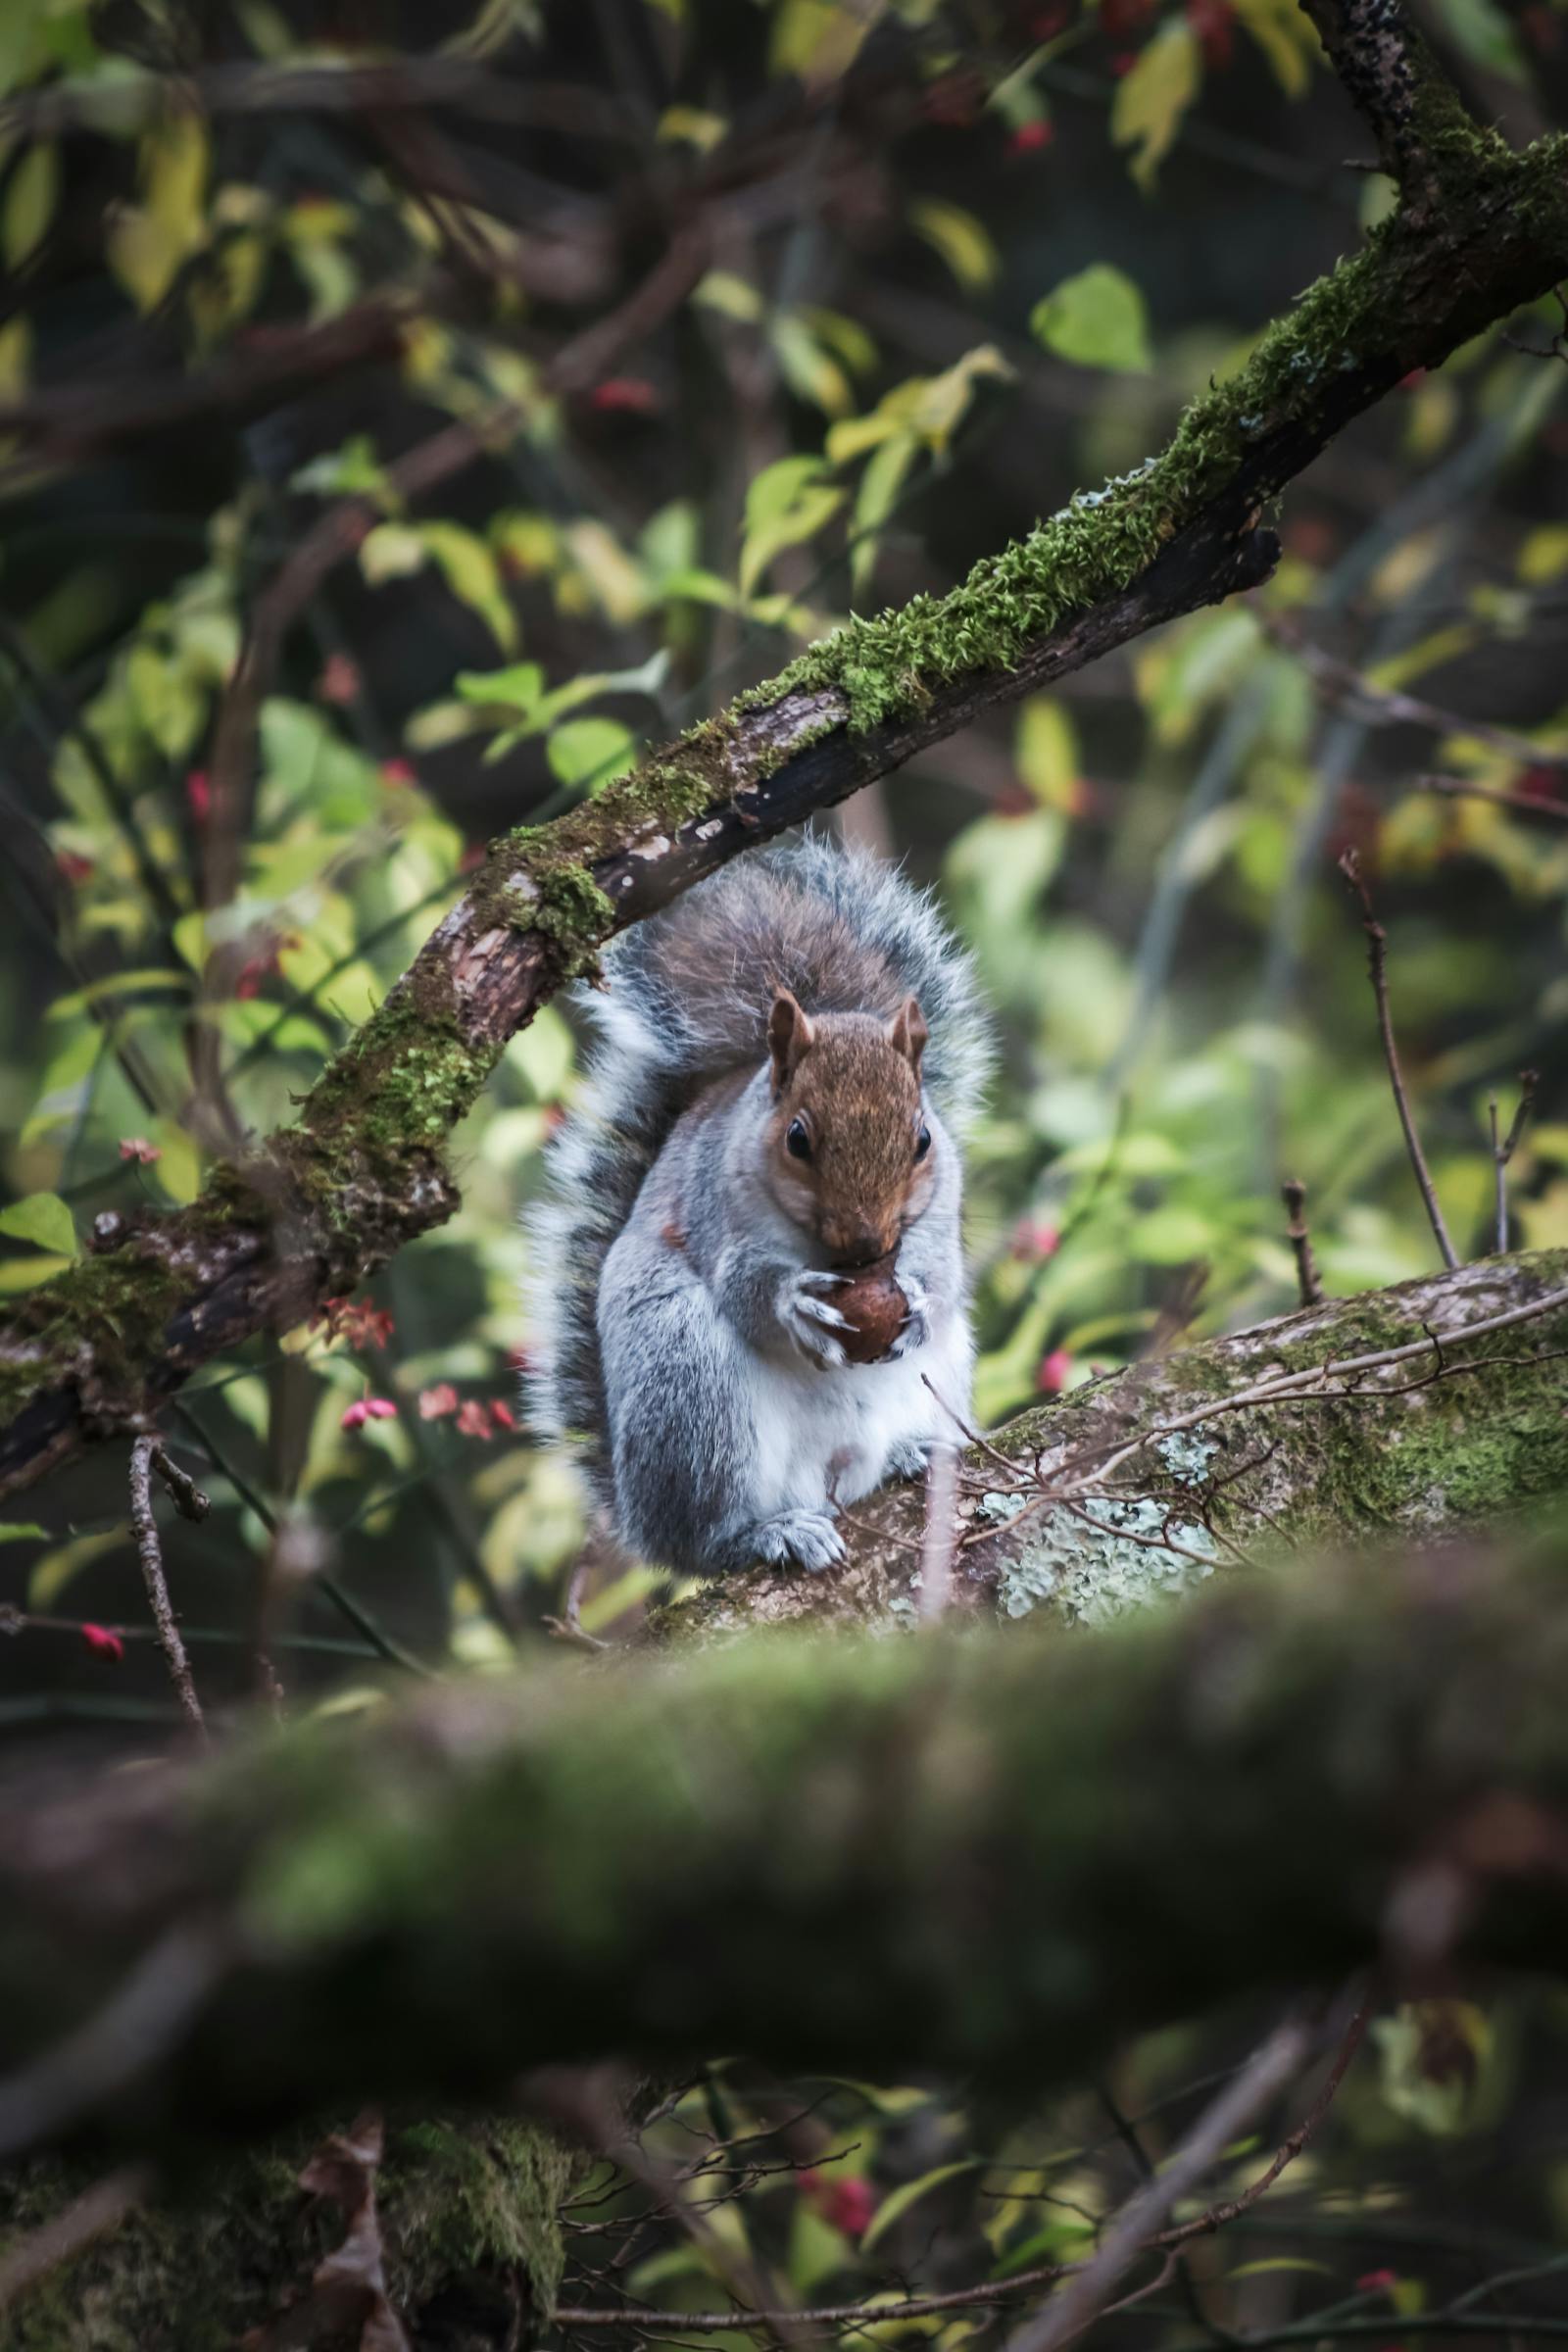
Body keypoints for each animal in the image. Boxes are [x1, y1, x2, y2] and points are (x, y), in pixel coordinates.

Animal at [525, 835, 993, 1577]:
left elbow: (943, 1272)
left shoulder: (941, 1212)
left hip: (938, 1374)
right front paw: (795, 1303)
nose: (870, 1246)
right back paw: (768, 1532)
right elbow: (746, 1290)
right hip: (691, 1392)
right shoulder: (717, 1212)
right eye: (798, 1138)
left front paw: (917, 1299)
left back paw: (913, 1451)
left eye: (923, 1138)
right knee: (711, 1537)